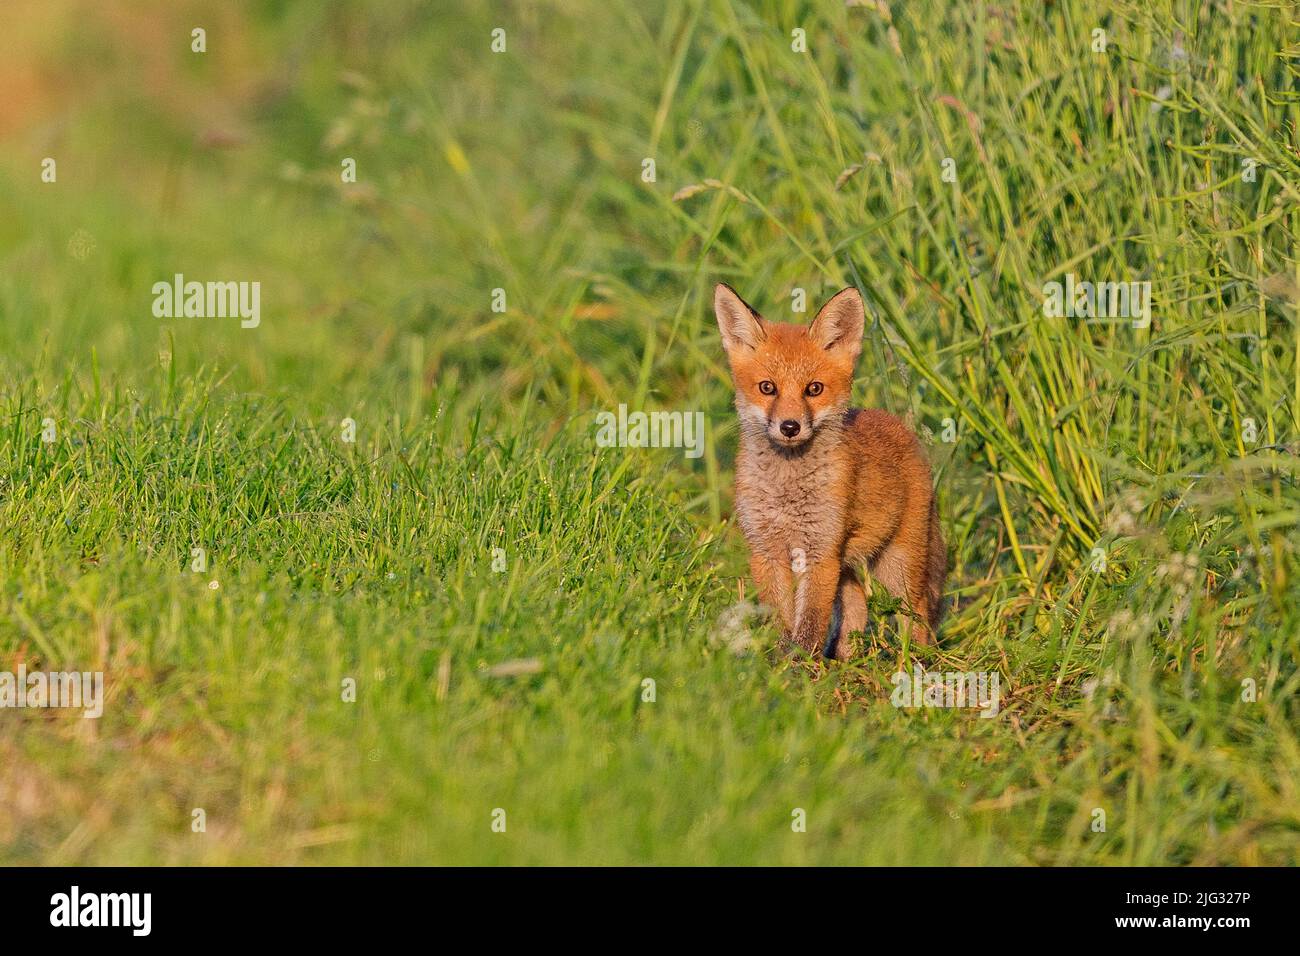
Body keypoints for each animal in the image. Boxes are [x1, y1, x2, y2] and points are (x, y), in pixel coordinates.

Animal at [714, 283, 946, 659]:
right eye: (767, 388)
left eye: (814, 389)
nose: (790, 427)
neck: (787, 490)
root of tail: (899, 424)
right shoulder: (766, 551)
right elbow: (780, 617)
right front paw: (778, 659)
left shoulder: (821, 552)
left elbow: (809, 620)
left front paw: (797, 664)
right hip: (848, 562)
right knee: (857, 603)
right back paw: (845, 659)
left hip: (897, 563)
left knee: (918, 612)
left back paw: (914, 659)